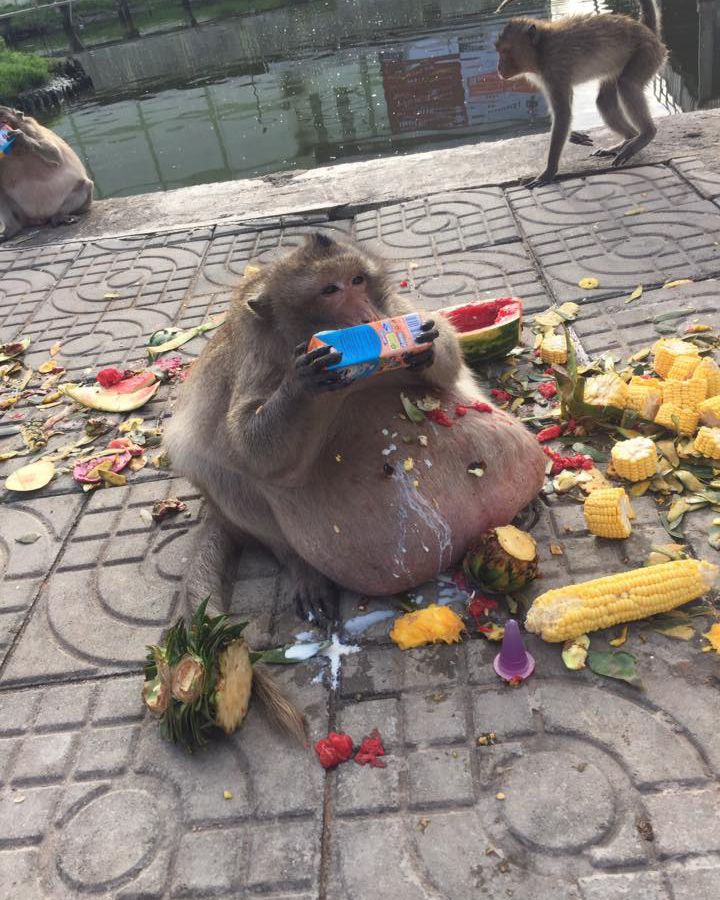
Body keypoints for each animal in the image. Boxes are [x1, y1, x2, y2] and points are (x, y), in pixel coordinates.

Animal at [0, 106, 93, 240]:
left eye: (3, 119)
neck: (16, 150)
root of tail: (38, 219)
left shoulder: (31, 128)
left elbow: (55, 154)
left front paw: (21, 138)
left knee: (85, 185)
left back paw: (59, 217)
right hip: (22, 214)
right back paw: (11, 229)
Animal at [164, 233, 546, 623]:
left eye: (358, 280)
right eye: (330, 289)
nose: (367, 315)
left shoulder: (392, 306)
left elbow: (450, 364)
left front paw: (423, 343)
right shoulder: (256, 355)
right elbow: (250, 447)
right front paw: (304, 381)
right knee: (213, 468)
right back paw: (301, 568)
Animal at [495, 1, 667, 187]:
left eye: (505, 51)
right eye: (500, 51)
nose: (499, 68)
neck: (540, 49)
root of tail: (647, 32)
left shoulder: (554, 69)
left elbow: (563, 114)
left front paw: (549, 171)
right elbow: (564, 111)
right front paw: (572, 135)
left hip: (646, 52)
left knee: (626, 84)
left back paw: (646, 134)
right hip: (622, 63)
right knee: (604, 102)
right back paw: (630, 138)